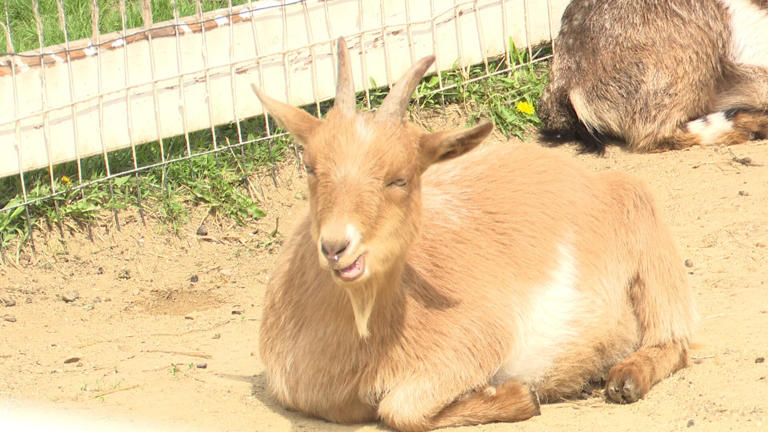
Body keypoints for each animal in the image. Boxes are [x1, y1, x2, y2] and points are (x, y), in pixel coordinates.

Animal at [253, 38, 696, 432]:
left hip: (644, 229)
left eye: (400, 178)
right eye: (310, 167)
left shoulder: (478, 336)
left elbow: (400, 408)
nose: (336, 247)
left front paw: (519, 395)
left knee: (675, 340)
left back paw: (625, 378)